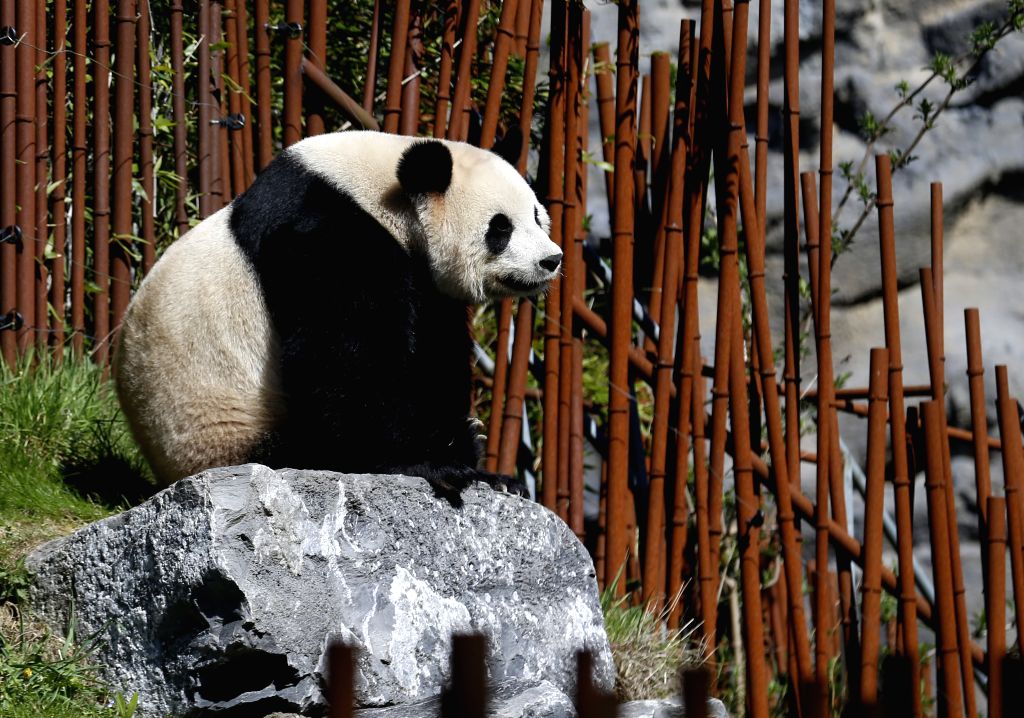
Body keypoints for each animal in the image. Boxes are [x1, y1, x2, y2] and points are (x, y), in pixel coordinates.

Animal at [114, 129, 560, 503]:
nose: (551, 260)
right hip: (227, 428)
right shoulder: (325, 236)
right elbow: (347, 360)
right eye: (500, 228)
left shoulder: (428, 283)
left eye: (538, 215)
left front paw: (482, 466)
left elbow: (434, 353)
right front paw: (431, 463)